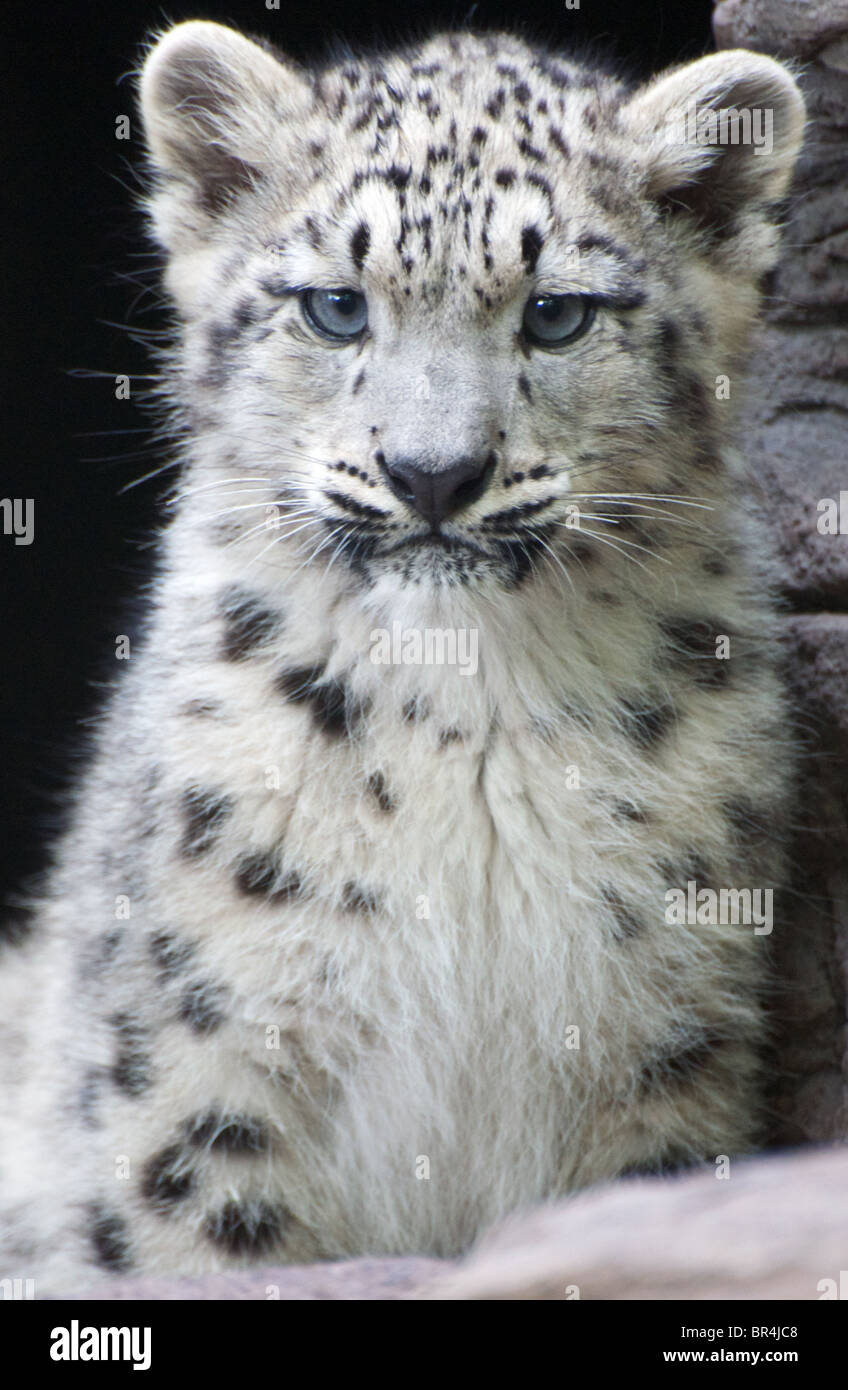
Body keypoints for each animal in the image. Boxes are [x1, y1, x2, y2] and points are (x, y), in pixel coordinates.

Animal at [0, 20, 805, 1293]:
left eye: (557, 315)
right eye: (335, 307)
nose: (433, 474)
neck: (462, 714)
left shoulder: (666, 1050)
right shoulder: (195, 1074)